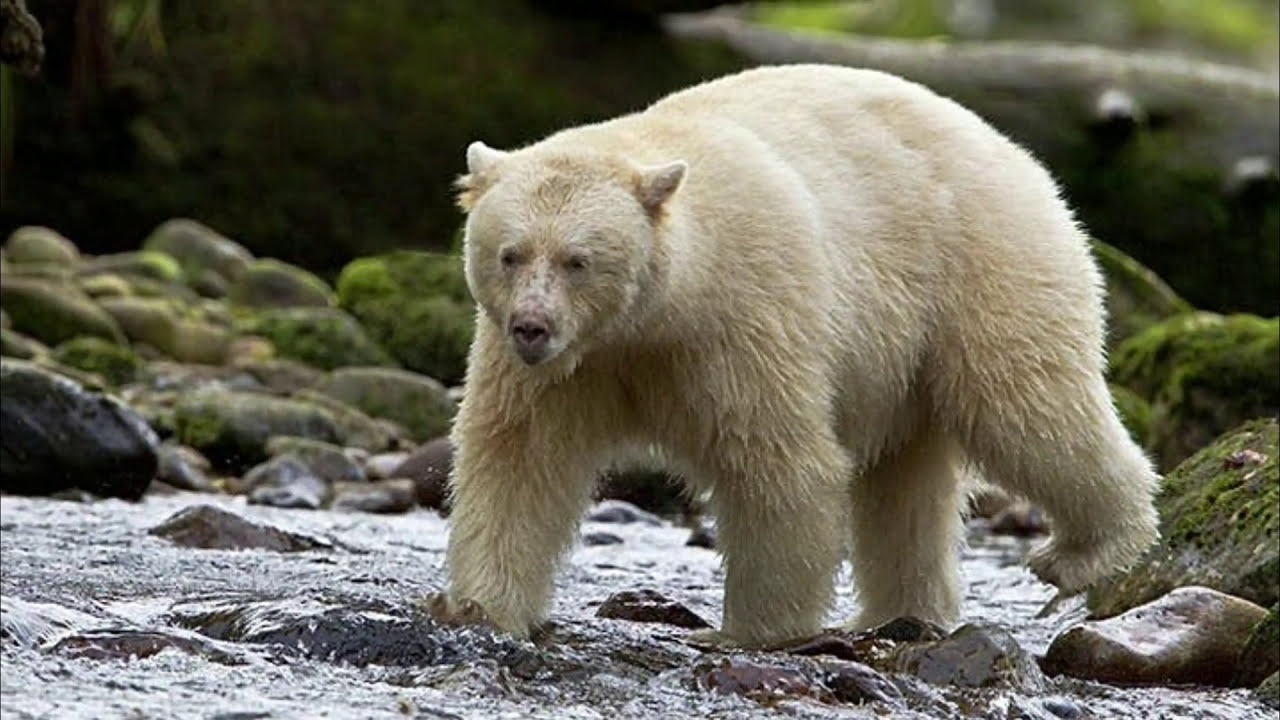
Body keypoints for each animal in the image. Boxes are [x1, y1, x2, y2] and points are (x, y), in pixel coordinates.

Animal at [433, 63, 1161, 648]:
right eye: (510, 253)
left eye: (578, 260)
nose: (532, 326)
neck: (650, 319)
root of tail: (1015, 152)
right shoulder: (565, 369)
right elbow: (519, 459)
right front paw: (476, 608)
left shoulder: (742, 319)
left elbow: (777, 464)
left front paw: (749, 632)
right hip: (907, 359)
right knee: (906, 485)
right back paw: (901, 612)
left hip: (981, 265)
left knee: (1026, 410)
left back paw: (1084, 552)